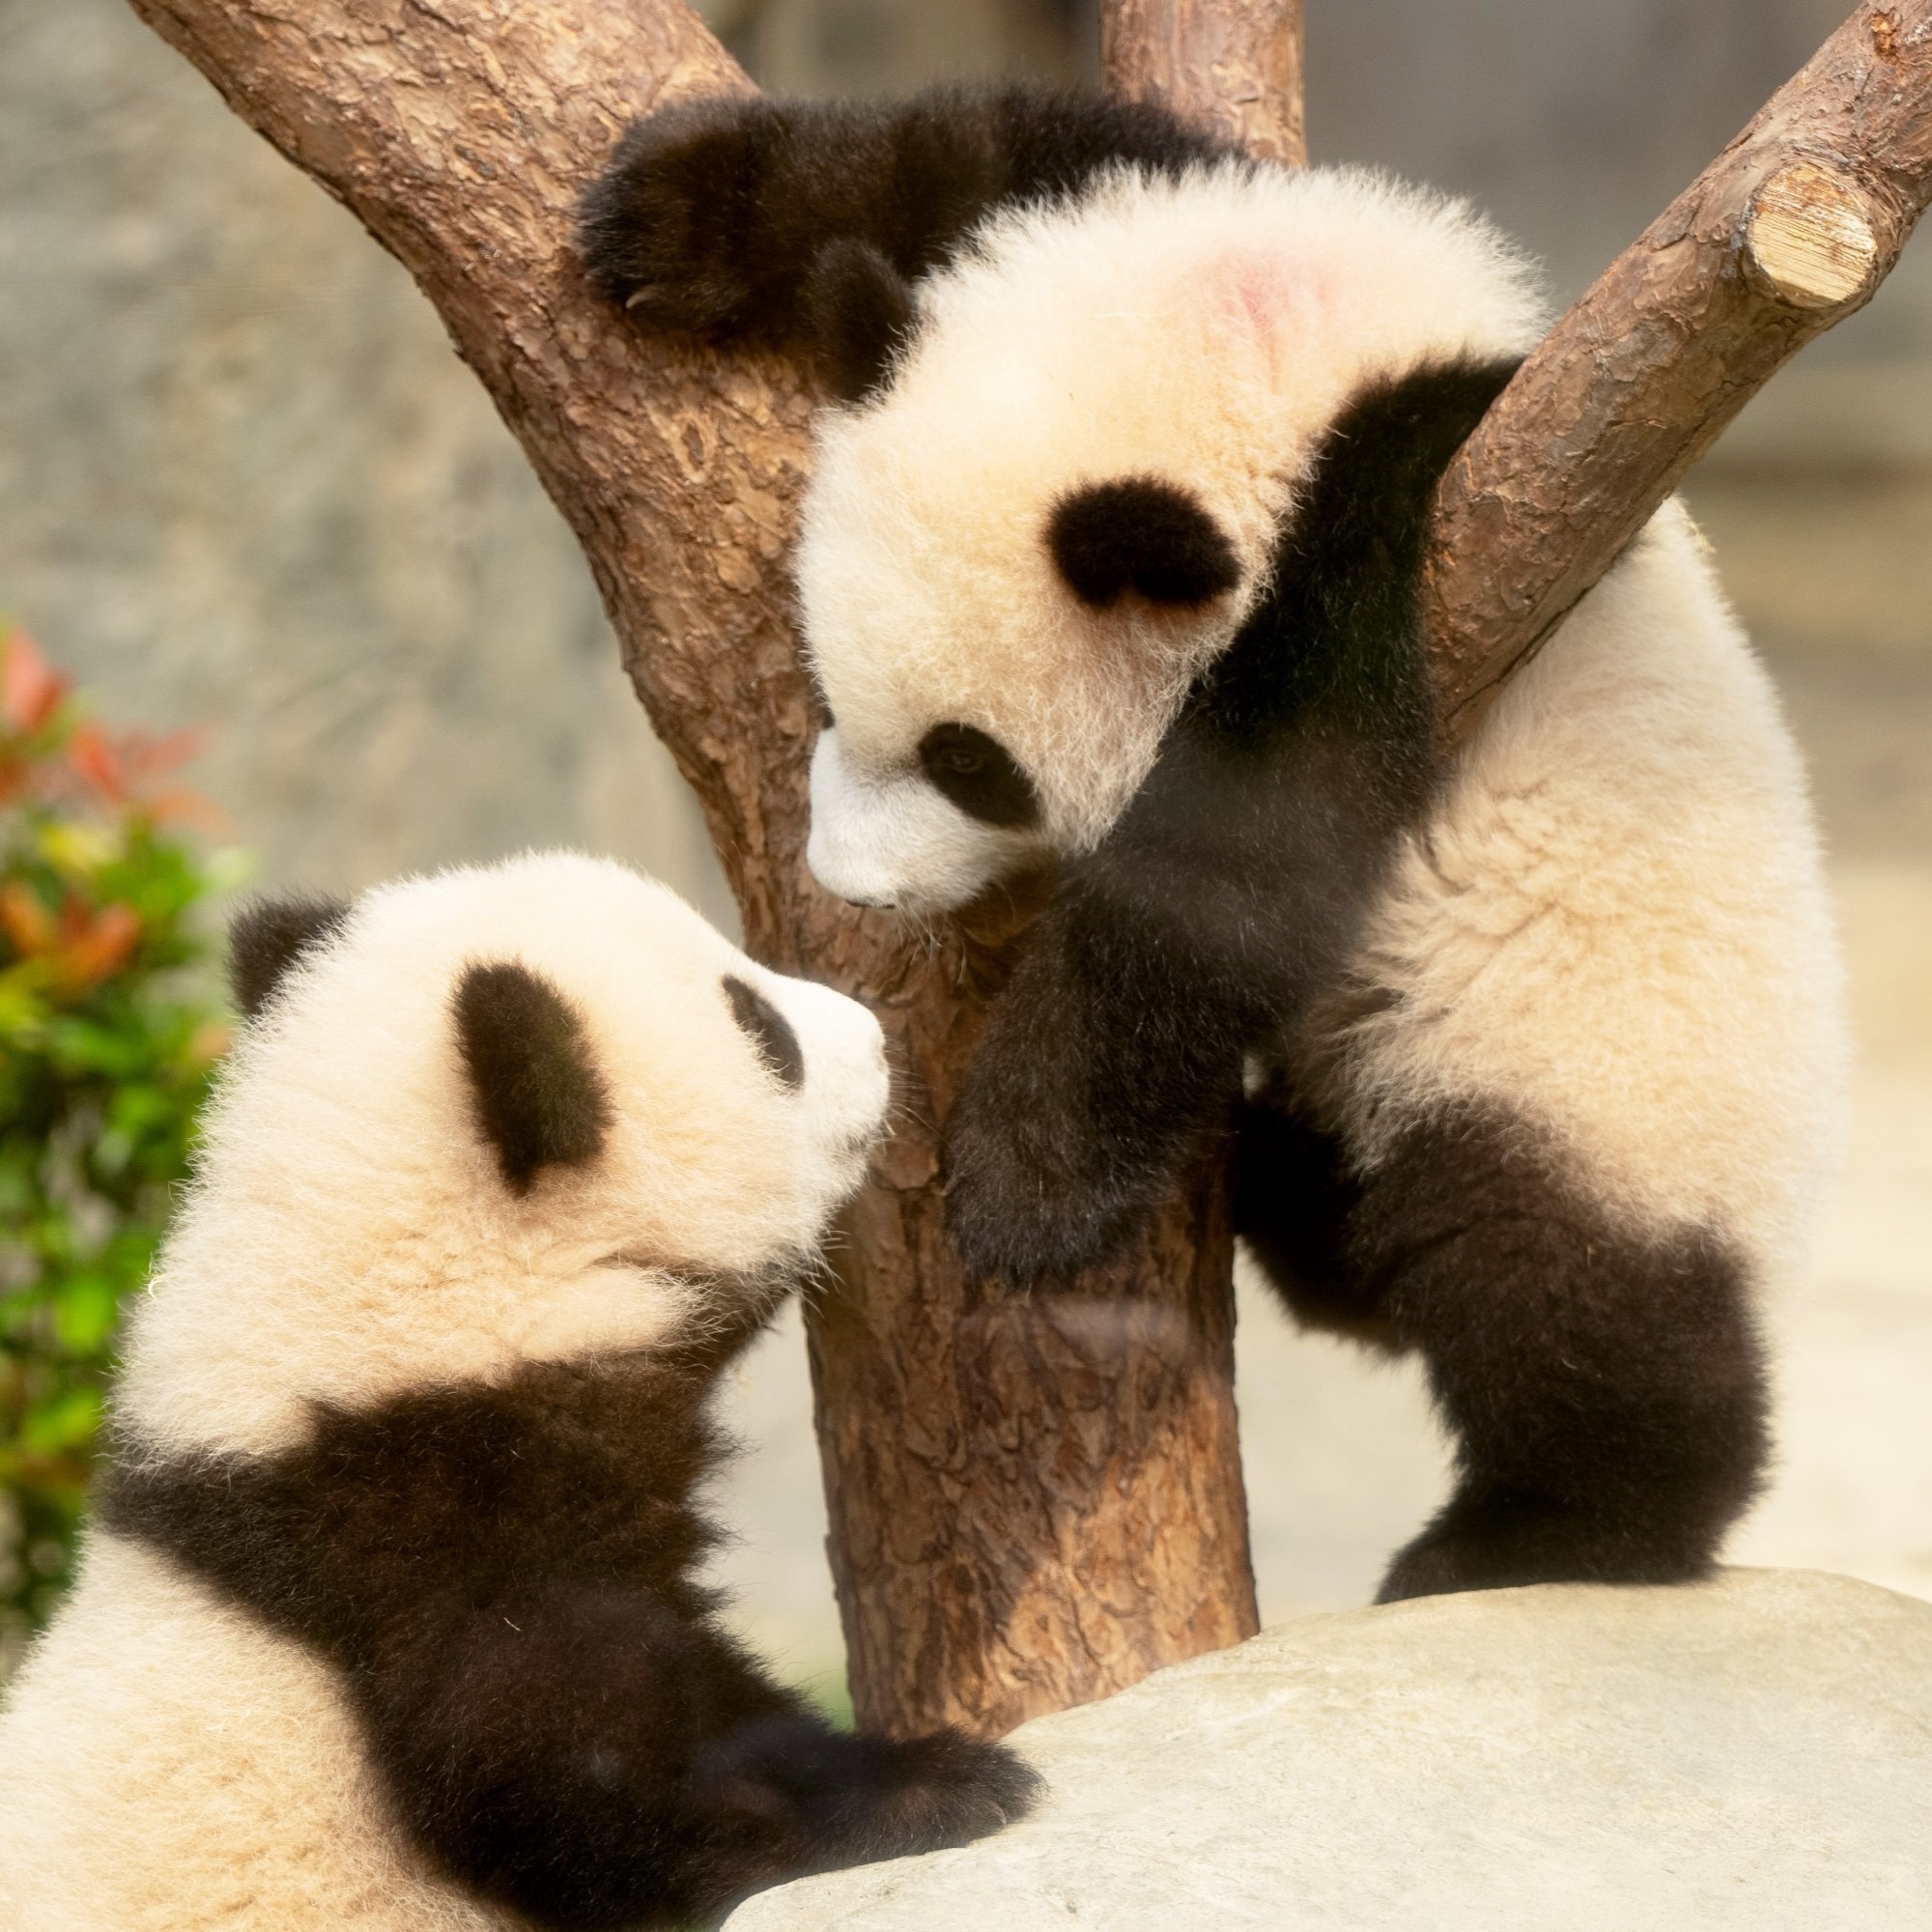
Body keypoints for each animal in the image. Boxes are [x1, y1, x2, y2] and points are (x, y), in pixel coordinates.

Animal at [582, 86, 1847, 1607]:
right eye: (826, 690)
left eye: (967, 762)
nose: (849, 884)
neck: (1279, 353)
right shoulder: (1183, 195)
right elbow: (971, 148)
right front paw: (675, 211)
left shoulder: (1424, 515)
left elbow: (1242, 859)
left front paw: (1021, 1181)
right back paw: (1288, 1193)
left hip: (1597, 1072)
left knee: (1555, 1286)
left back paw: (1543, 1530)